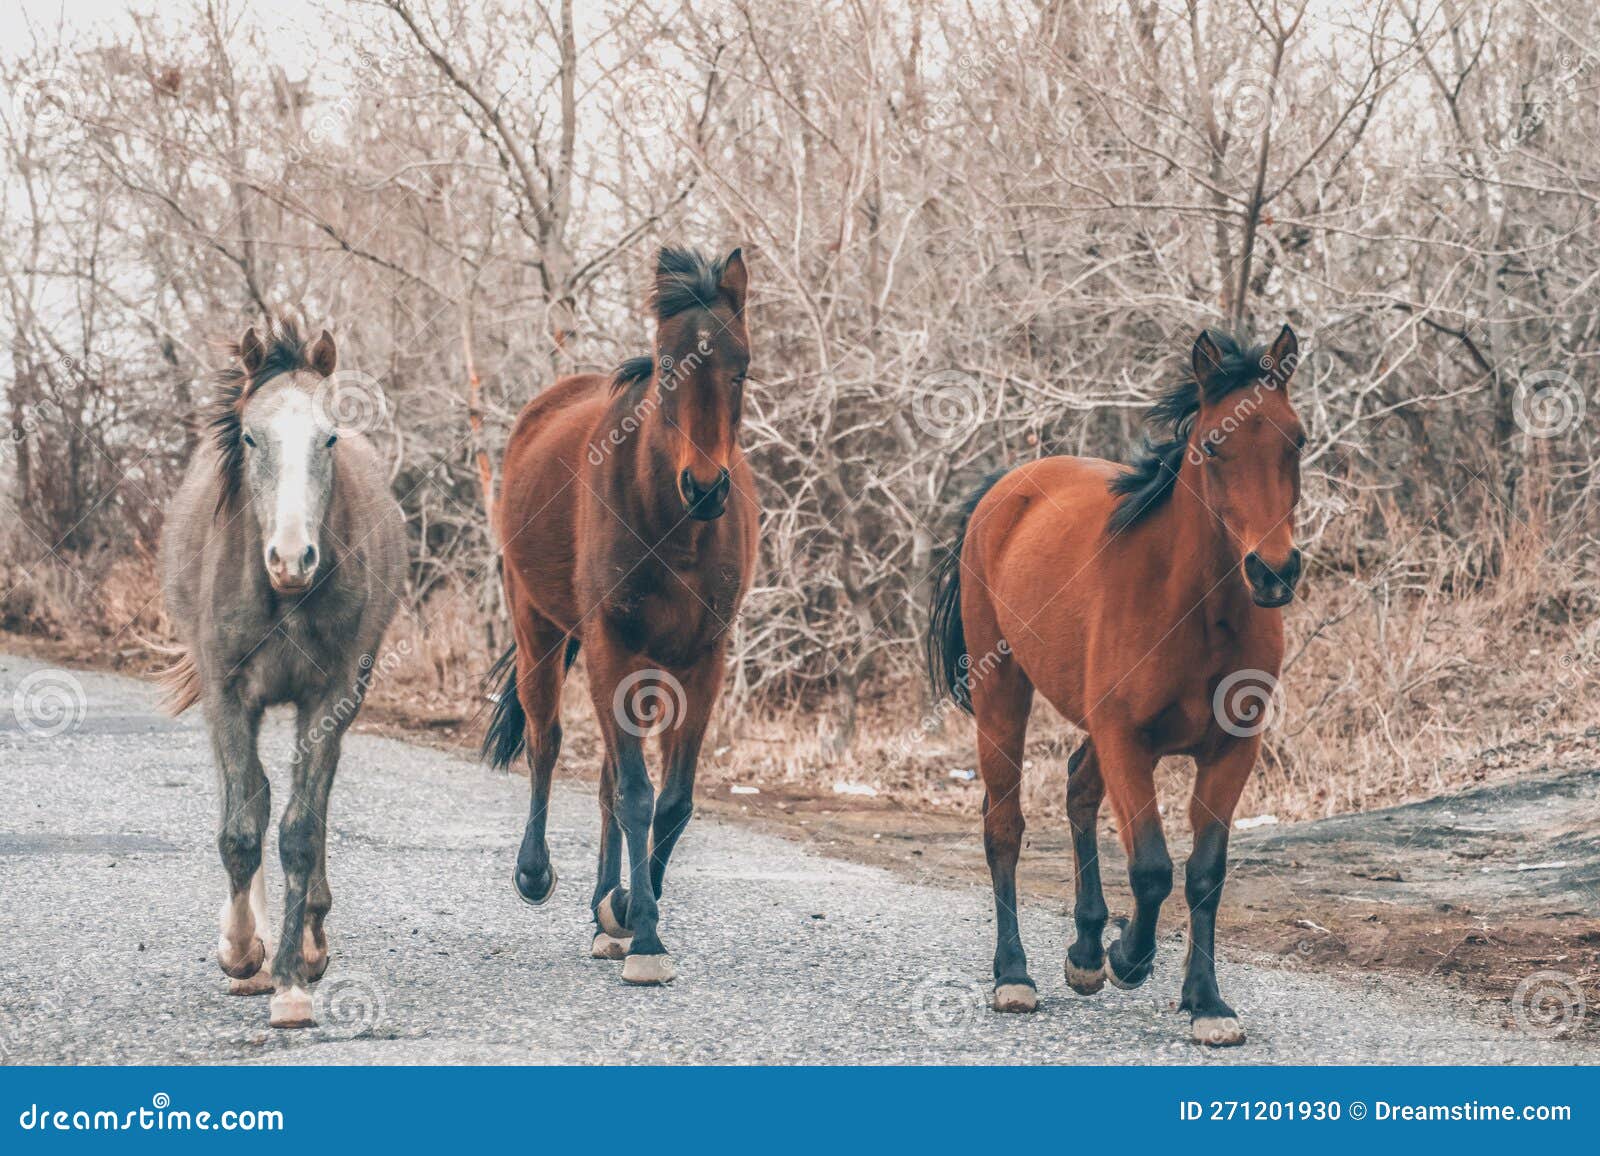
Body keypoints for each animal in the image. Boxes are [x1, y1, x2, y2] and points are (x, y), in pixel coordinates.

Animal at [159, 319, 406, 1029]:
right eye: (250, 437)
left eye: (329, 437)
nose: (291, 558)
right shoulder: (226, 697)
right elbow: (243, 825)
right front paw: (244, 954)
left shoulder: (330, 697)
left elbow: (300, 828)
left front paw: (293, 980)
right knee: (245, 795)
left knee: (306, 805)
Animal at [482, 246, 756, 985]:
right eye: (666, 366)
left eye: (742, 366)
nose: (707, 488)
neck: (675, 528)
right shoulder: (610, 643)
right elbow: (635, 792)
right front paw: (647, 938)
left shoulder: (703, 658)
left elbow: (671, 801)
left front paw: (630, 911)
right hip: (540, 633)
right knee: (547, 742)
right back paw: (537, 872)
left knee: (606, 775)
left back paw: (608, 906)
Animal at [925, 326, 1303, 1047]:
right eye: (1214, 446)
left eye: (1296, 440)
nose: (1274, 572)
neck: (1195, 609)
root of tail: (1005, 488)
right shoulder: (1128, 738)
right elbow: (1153, 867)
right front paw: (1131, 957)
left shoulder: (1230, 749)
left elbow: (1205, 872)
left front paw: (1206, 1003)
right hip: (1003, 692)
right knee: (1004, 824)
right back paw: (1015, 975)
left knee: (1078, 789)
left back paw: (1084, 950)